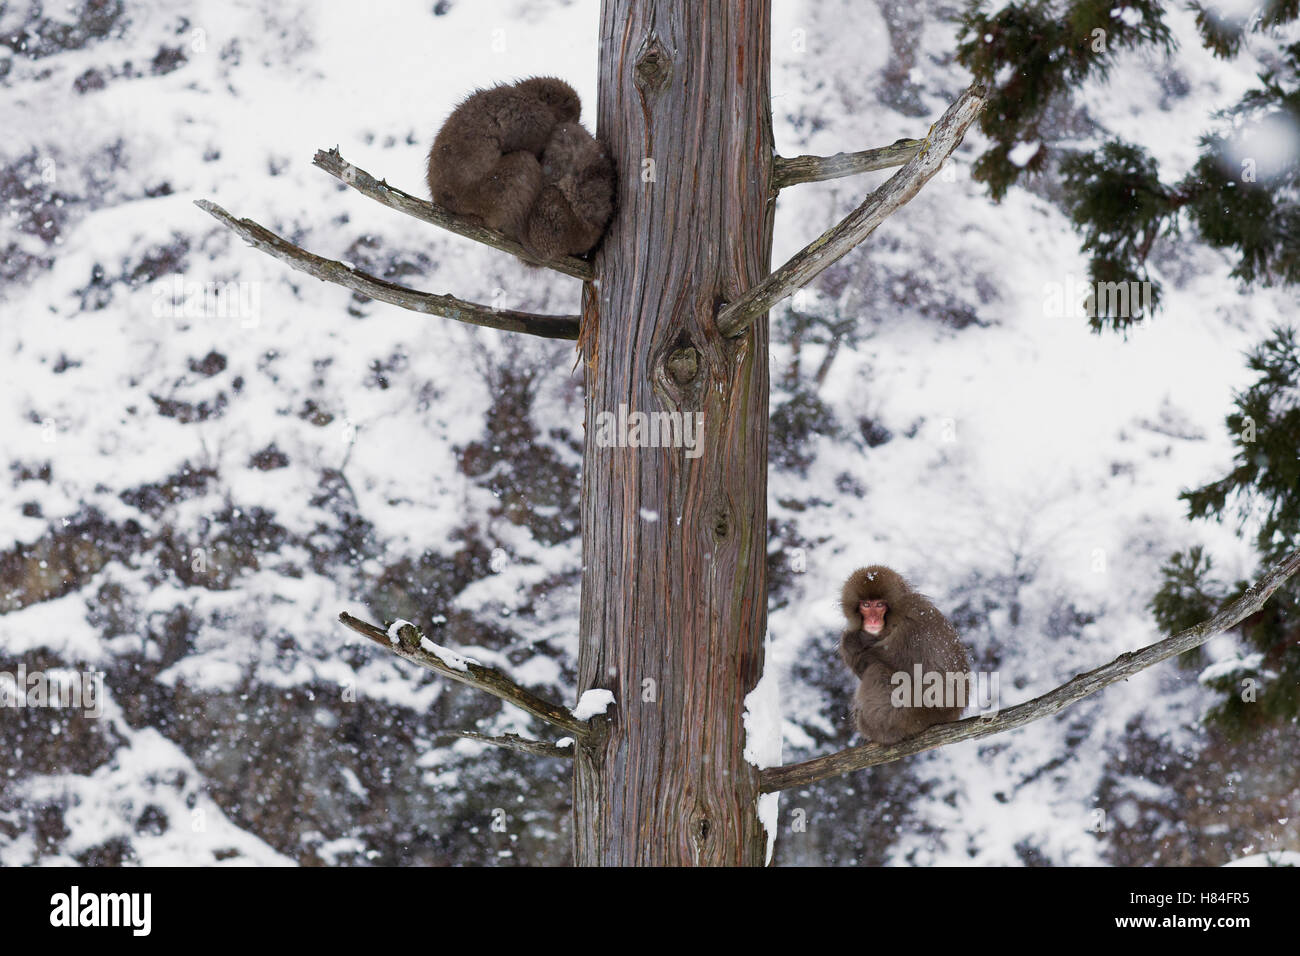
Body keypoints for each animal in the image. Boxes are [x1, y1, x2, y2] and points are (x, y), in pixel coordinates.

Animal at [425, 76, 615, 263]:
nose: (575, 124)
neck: (526, 93)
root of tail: (447, 204)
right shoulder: (536, 117)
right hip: (484, 197)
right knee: (525, 162)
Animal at [838, 565, 971, 745]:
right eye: (866, 604)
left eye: (879, 605)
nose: (872, 620)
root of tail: (951, 714)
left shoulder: (908, 632)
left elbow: (867, 660)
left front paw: (851, 641)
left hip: (910, 713)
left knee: (877, 670)